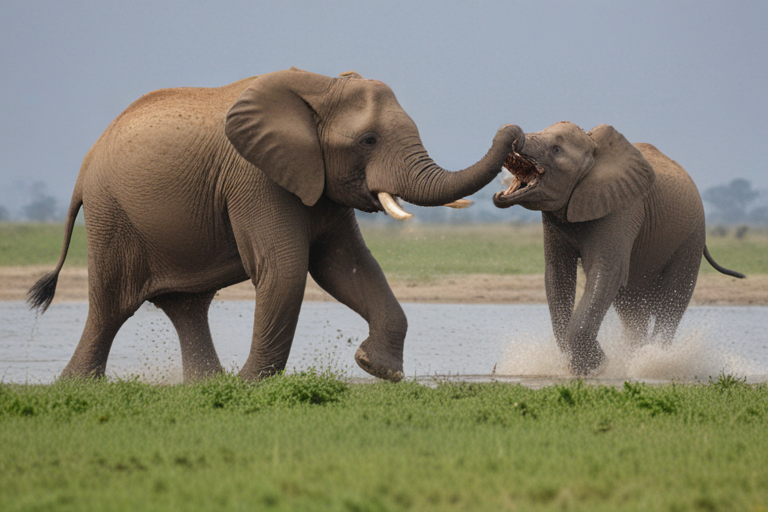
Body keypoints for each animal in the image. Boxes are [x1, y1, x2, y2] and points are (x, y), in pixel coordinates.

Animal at [28, 68, 524, 383]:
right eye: (368, 141)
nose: (514, 131)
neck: (320, 88)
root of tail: (85, 166)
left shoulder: (318, 179)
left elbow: (347, 266)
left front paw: (377, 368)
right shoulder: (256, 178)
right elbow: (286, 268)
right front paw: (253, 385)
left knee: (186, 306)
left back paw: (208, 385)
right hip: (112, 214)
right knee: (111, 304)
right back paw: (77, 386)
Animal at [493, 121, 744, 375]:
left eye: (556, 150)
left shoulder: (623, 207)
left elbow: (606, 272)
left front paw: (597, 366)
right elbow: (558, 276)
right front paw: (589, 366)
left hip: (691, 237)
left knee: (671, 302)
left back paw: (653, 359)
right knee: (632, 309)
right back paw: (634, 357)